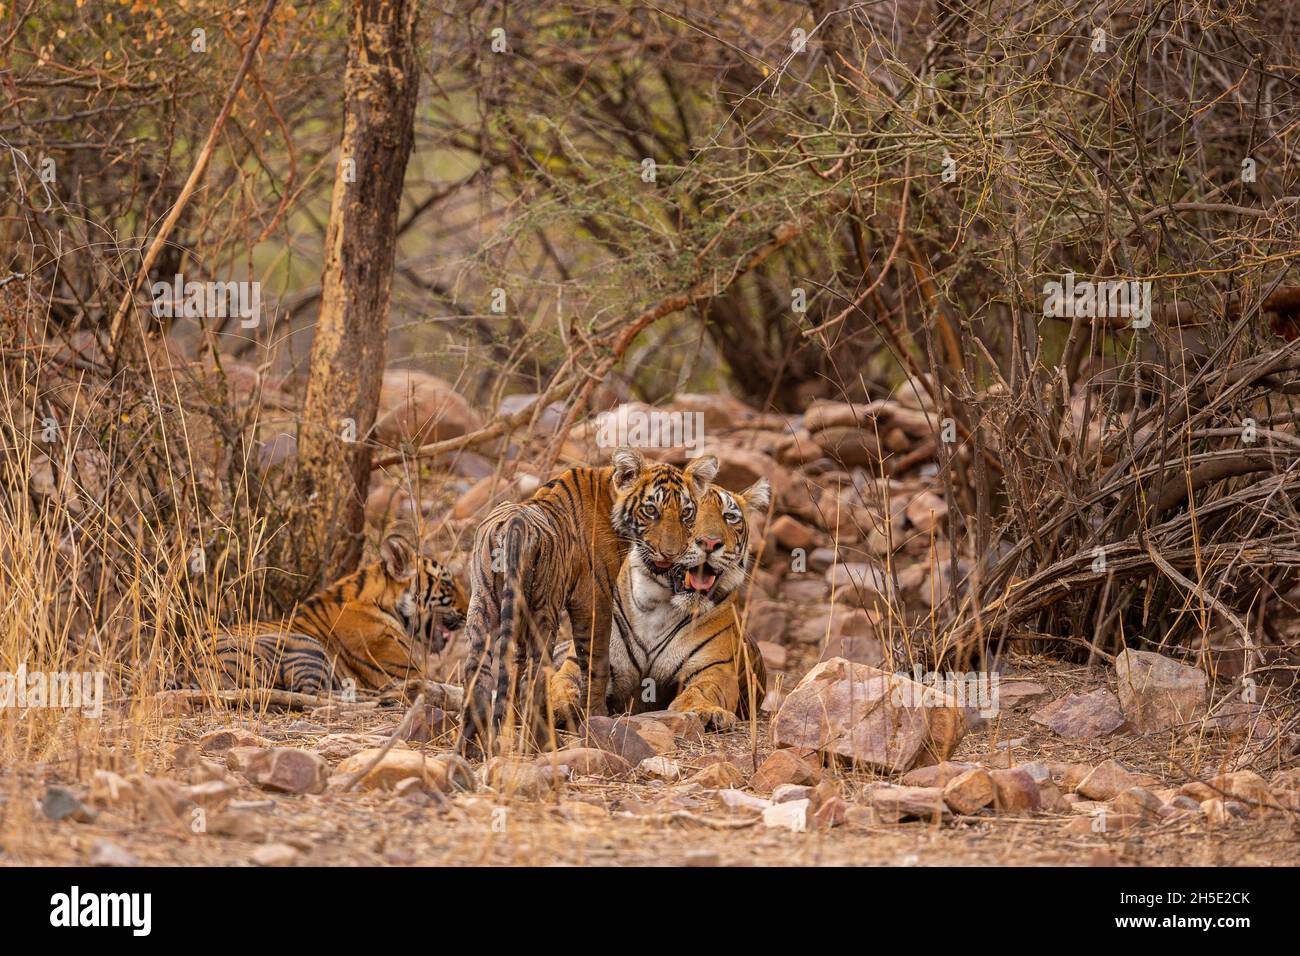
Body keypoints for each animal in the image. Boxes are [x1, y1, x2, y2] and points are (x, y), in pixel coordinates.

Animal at [455, 448, 719, 757]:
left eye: (686, 513)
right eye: (651, 510)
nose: (671, 554)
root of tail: (514, 523)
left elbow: (514, 664)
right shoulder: (594, 597)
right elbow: (595, 662)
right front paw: (597, 716)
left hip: (483, 603)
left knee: (477, 674)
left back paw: (467, 749)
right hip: (544, 610)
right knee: (533, 678)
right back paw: (544, 745)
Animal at [601, 477, 771, 730]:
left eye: (729, 516)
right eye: (688, 512)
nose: (710, 543)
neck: (660, 607)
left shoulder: (714, 668)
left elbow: (703, 689)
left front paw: (705, 712)